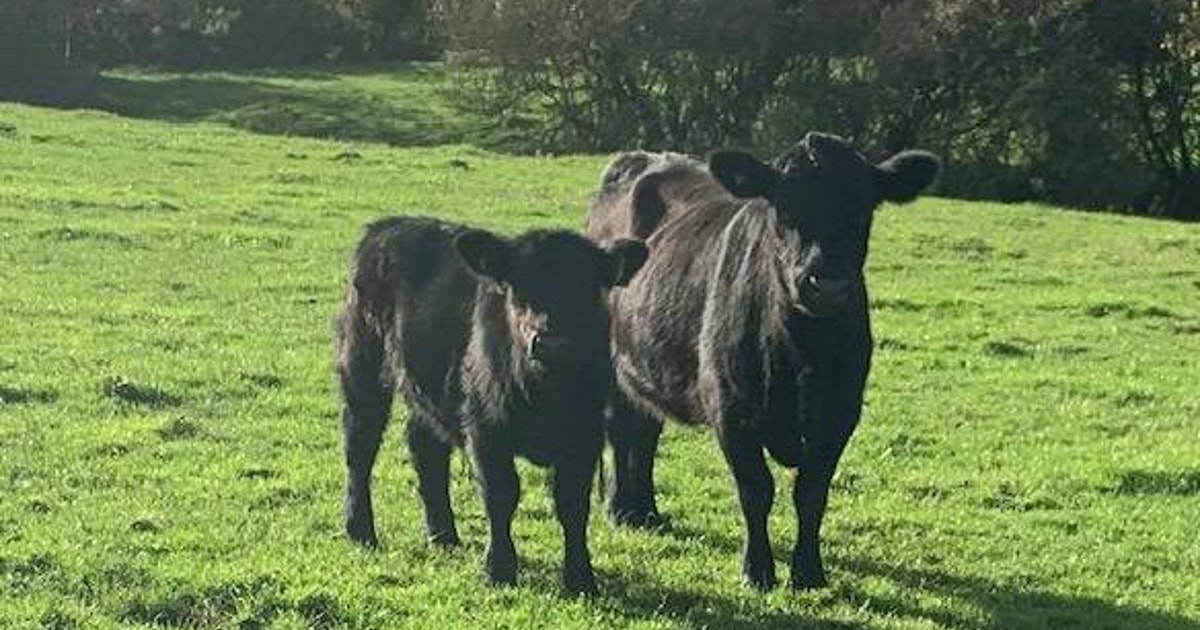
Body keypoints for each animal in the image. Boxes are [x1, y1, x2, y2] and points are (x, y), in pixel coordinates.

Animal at [337, 216, 648, 594]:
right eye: (519, 286)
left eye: (587, 289)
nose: (551, 343)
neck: (544, 394)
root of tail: (385, 227)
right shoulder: (485, 429)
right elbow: (501, 495)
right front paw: (499, 569)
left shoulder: (585, 435)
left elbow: (572, 504)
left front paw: (580, 578)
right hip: (362, 364)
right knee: (360, 447)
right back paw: (360, 530)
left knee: (425, 450)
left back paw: (443, 536)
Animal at [588, 132, 940, 590]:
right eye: (784, 209)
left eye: (862, 210)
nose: (826, 284)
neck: (802, 350)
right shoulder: (731, 408)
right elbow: (756, 489)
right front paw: (757, 571)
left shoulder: (840, 414)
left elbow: (812, 492)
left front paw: (808, 571)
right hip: (611, 363)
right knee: (621, 429)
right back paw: (620, 508)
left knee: (645, 430)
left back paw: (645, 512)